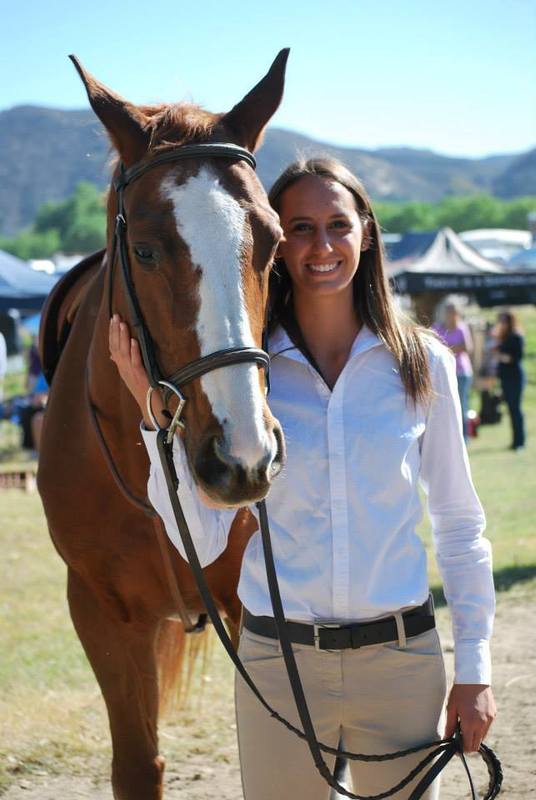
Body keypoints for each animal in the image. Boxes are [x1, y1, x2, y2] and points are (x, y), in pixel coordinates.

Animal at [36, 51, 288, 800]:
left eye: (272, 243)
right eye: (145, 251)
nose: (243, 457)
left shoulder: (257, 610)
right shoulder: (103, 615)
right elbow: (136, 766)